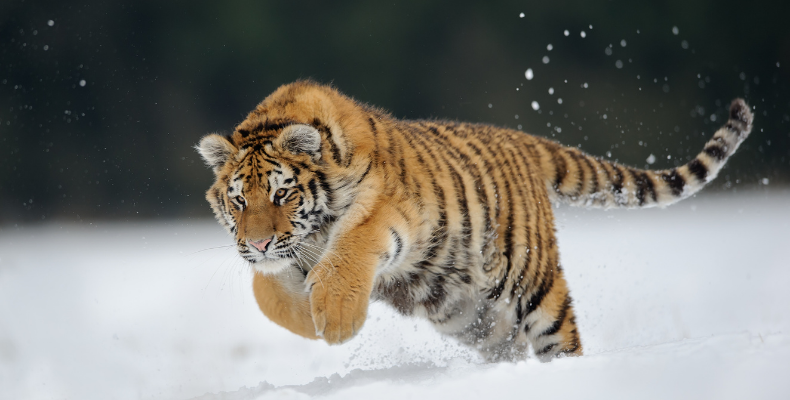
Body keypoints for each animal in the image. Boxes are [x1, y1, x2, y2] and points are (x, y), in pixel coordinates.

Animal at [196, 80, 753, 362]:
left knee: (560, 338)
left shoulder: (388, 212)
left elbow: (349, 248)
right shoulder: (284, 258)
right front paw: (307, 321)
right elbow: (266, 294)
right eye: (239, 201)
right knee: (508, 343)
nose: (259, 244)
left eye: (283, 193)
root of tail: (522, 140)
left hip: (535, 283)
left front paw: (332, 320)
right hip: (471, 316)